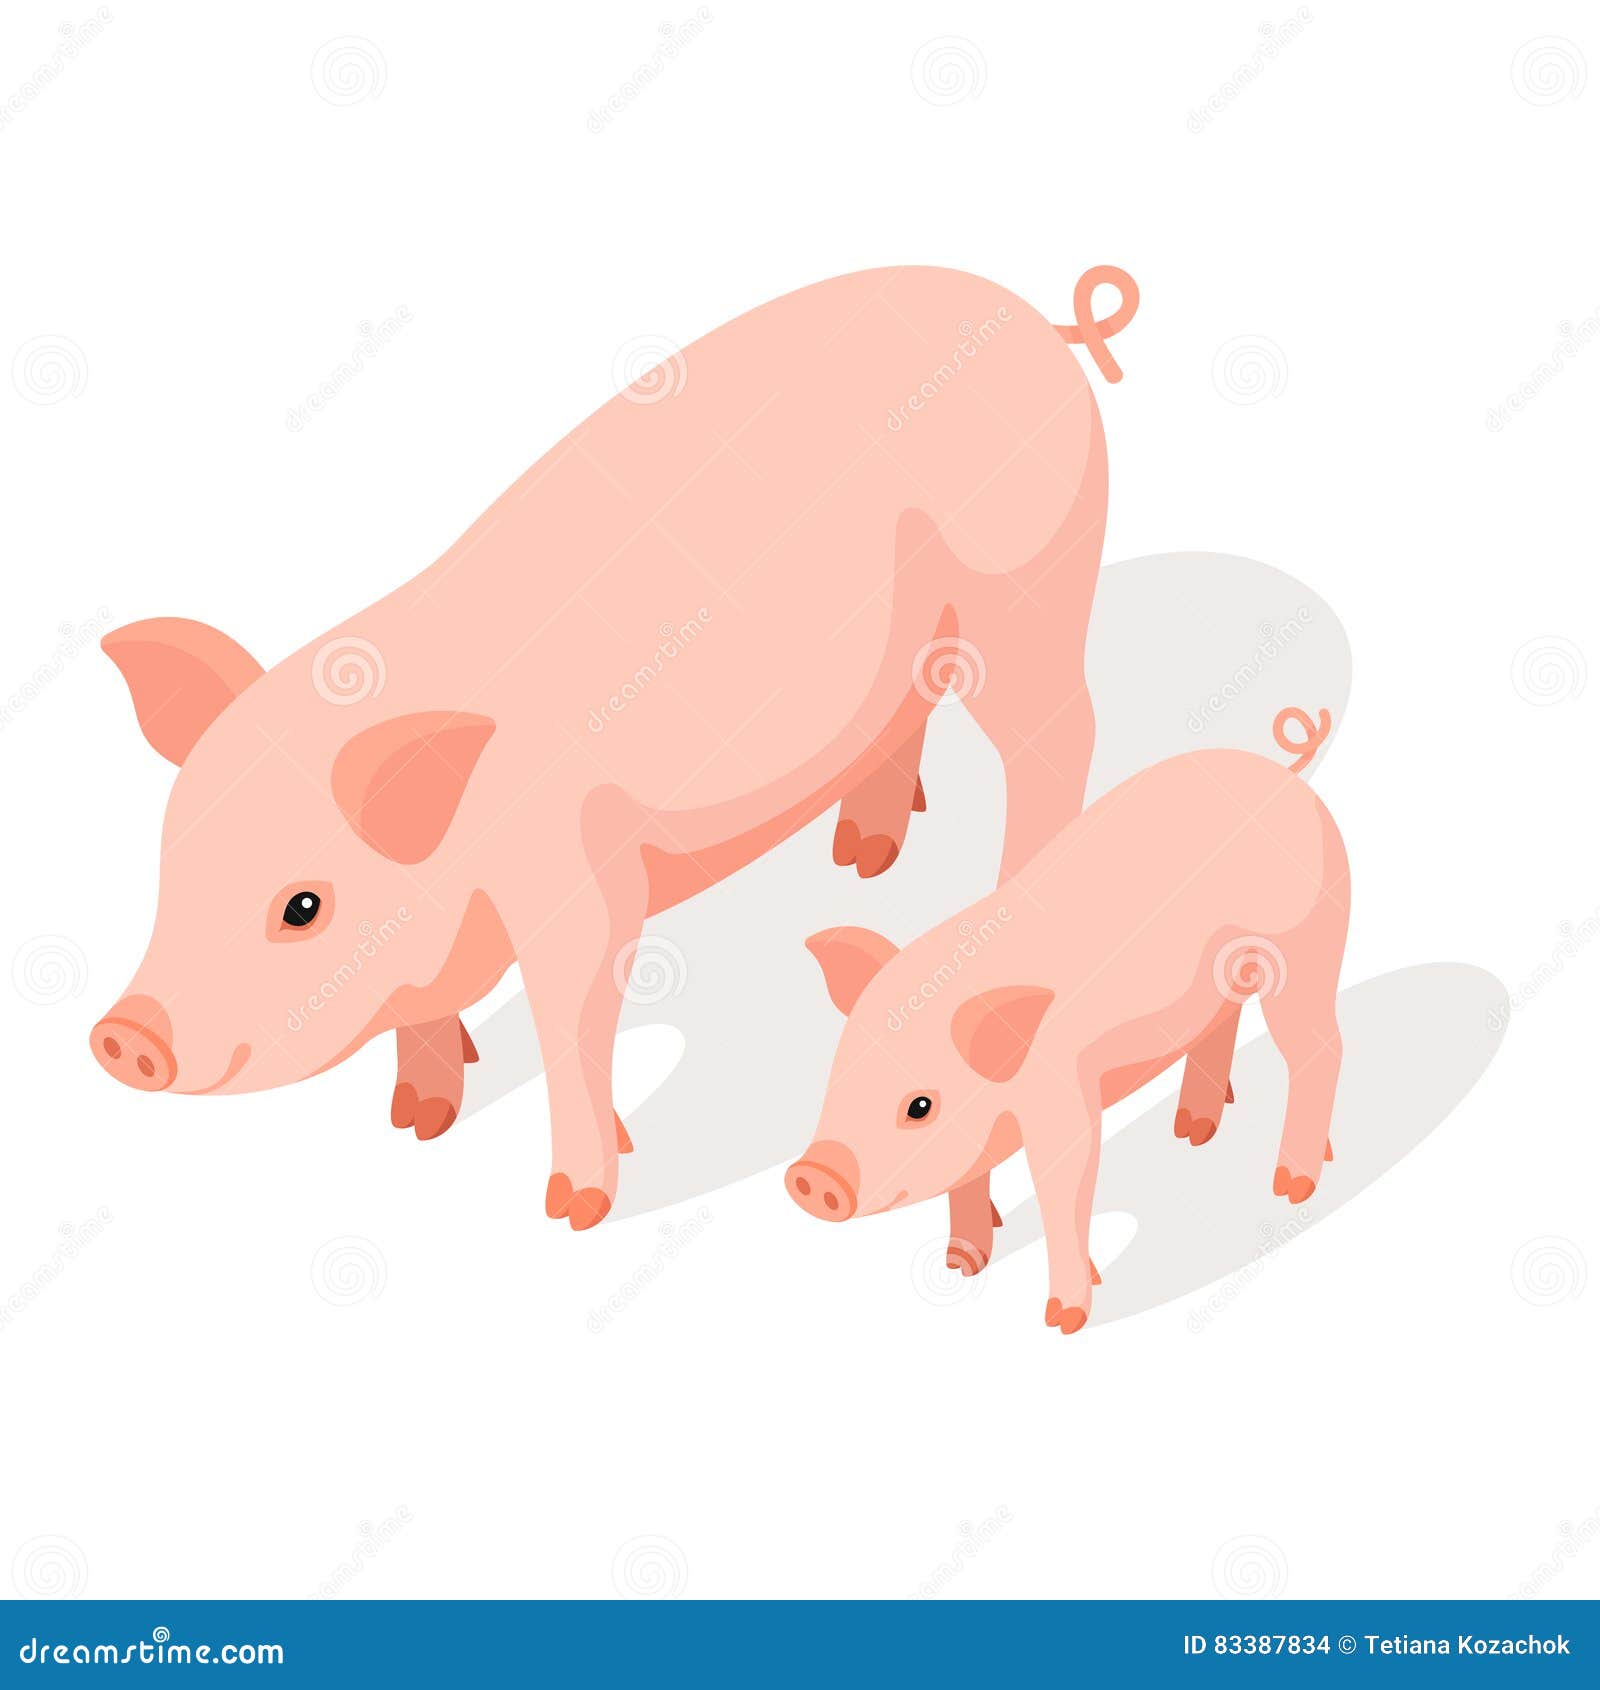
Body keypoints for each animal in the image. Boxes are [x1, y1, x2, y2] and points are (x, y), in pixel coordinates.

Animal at [90, 263, 1139, 1237]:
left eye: (302, 907)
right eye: (172, 861)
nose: (123, 1036)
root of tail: (1034, 319)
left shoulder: (583, 884)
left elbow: (572, 1022)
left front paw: (576, 1210)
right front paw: (419, 1126)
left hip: (1028, 590)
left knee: (1062, 730)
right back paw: (862, 861)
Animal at [787, 709, 1348, 1335]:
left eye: (920, 1106)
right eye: (839, 1074)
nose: (813, 1177)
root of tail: (1286, 776)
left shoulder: (1066, 1104)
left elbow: (1065, 1190)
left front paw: (1063, 1320)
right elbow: (966, 1179)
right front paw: (962, 1266)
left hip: (1308, 951)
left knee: (1321, 1048)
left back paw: (1293, 1186)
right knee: (1222, 1024)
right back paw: (1192, 1133)